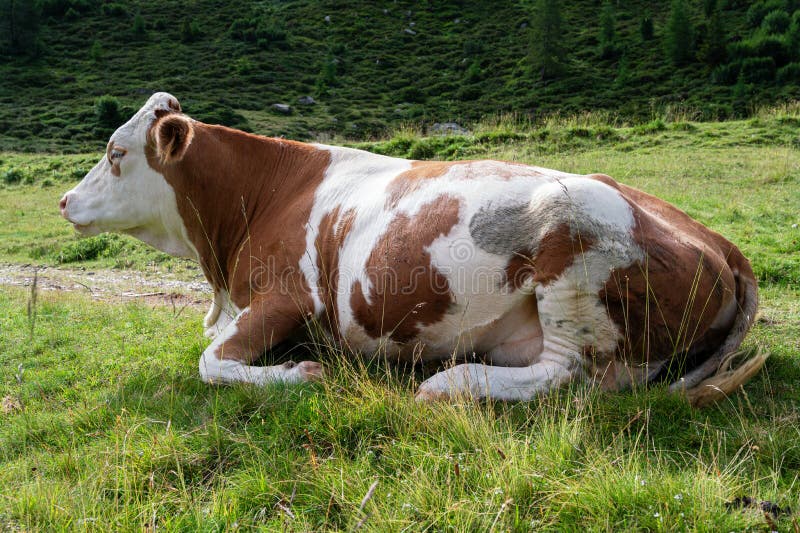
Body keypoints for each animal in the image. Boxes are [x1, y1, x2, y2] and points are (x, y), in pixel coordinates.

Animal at [59, 93, 767, 406]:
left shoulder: (289, 297)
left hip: (573, 250)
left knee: (566, 375)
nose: (65, 200)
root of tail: (724, 244)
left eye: (115, 153)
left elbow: (209, 363)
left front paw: (302, 373)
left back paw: (453, 381)